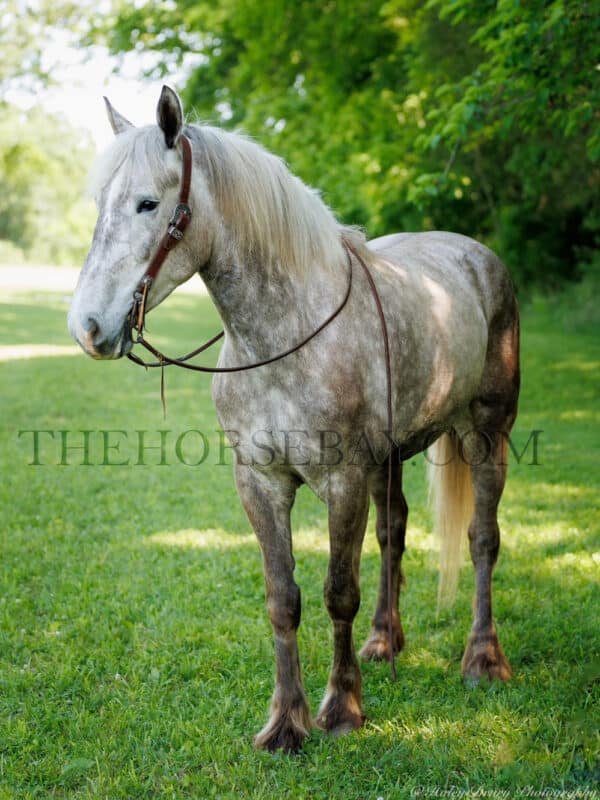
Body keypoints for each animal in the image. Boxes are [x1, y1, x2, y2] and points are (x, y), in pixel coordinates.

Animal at [68, 86, 520, 753]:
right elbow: (284, 599)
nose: (89, 327)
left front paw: (341, 709)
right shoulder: (261, 483)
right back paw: (384, 642)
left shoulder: (342, 481)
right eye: (101, 204)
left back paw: (483, 660)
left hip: (487, 433)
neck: (283, 336)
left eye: (149, 203)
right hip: (390, 459)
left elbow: (338, 593)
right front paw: (286, 722)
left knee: (482, 539)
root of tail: (479, 256)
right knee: (394, 534)